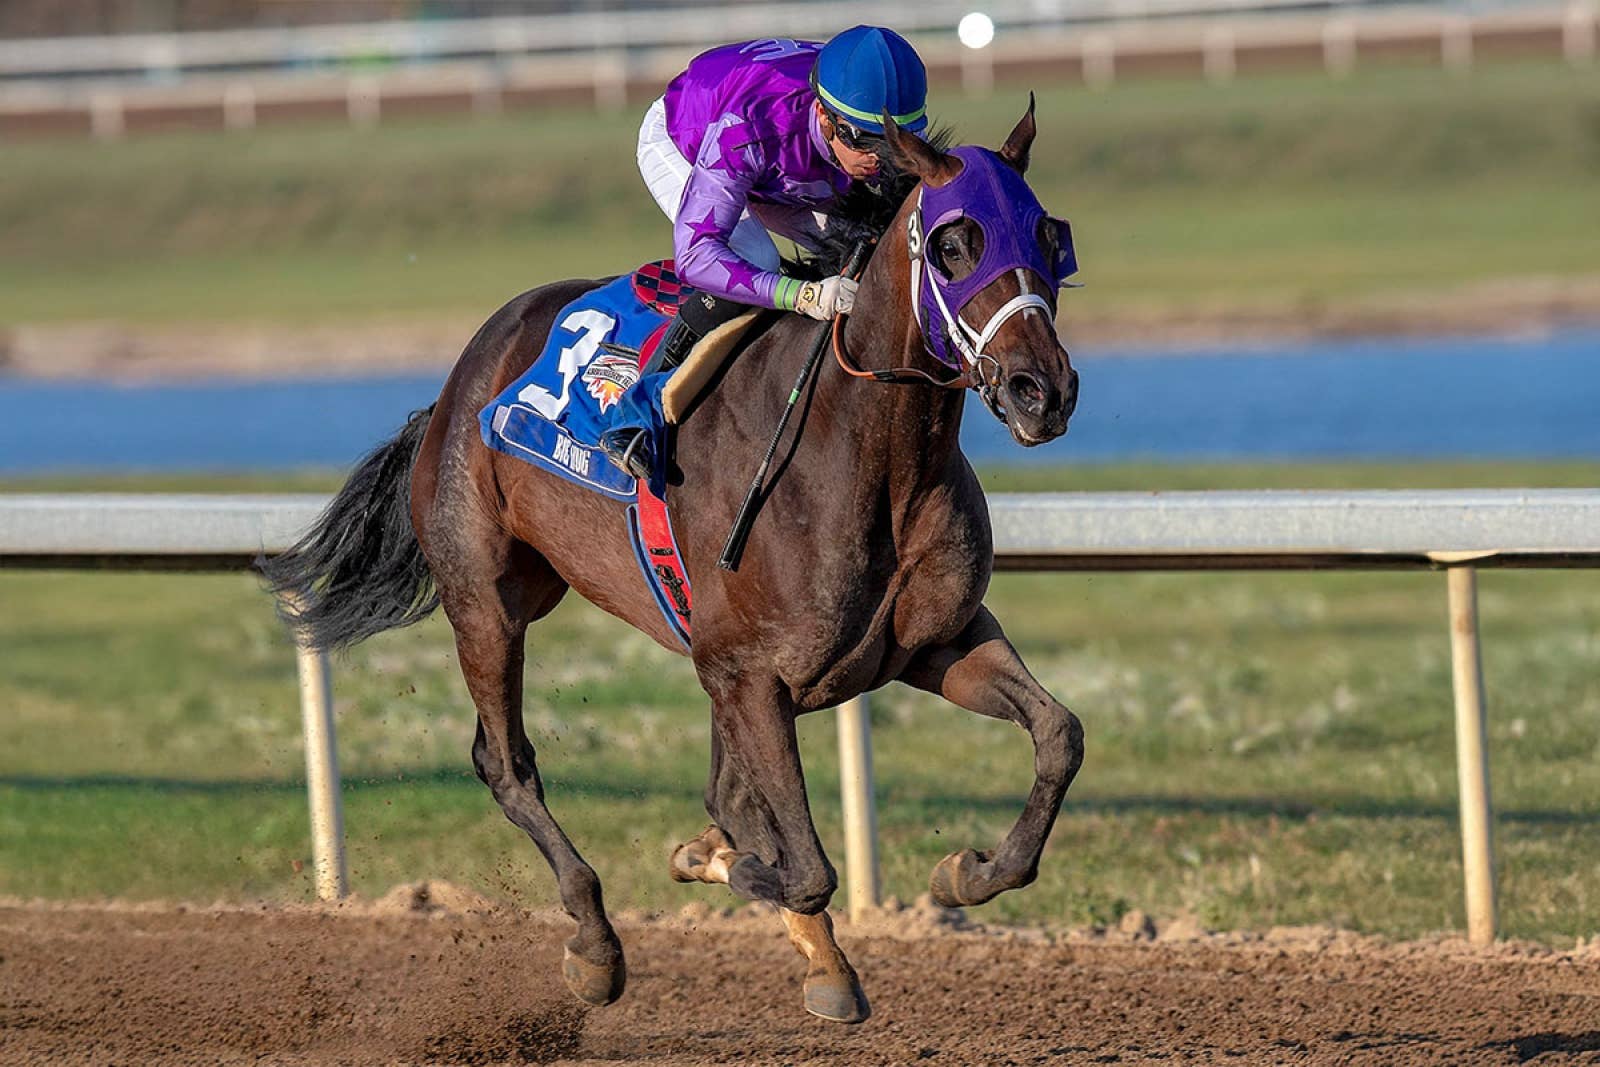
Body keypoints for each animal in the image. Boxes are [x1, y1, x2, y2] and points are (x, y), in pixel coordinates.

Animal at [264, 101, 1082, 1026]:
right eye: (954, 244)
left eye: (1048, 235)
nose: (1043, 390)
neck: (866, 453)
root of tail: (455, 384)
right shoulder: (745, 671)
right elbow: (797, 861)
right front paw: (719, 862)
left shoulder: (931, 644)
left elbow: (1059, 734)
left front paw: (964, 873)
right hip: (486, 599)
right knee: (506, 763)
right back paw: (595, 941)